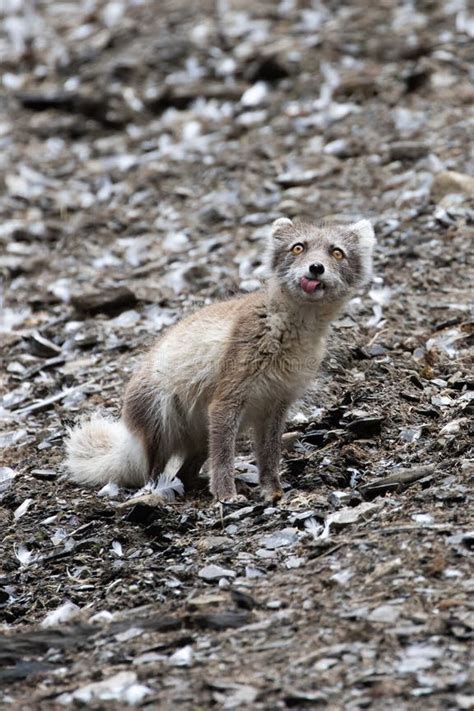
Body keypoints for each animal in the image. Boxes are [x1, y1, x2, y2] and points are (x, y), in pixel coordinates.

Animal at [65, 217, 376, 503]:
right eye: (298, 248)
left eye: (337, 253)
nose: (315, 268)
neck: (289, 333)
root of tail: (131, 437)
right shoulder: (227, 398)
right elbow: (224, 457)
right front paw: (227, 495)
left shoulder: (277, 403)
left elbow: (269, 455)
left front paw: (272, 491)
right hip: (160, 417)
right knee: (153, 471)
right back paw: (157, 491)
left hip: (203, 435)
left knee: (187, 472)